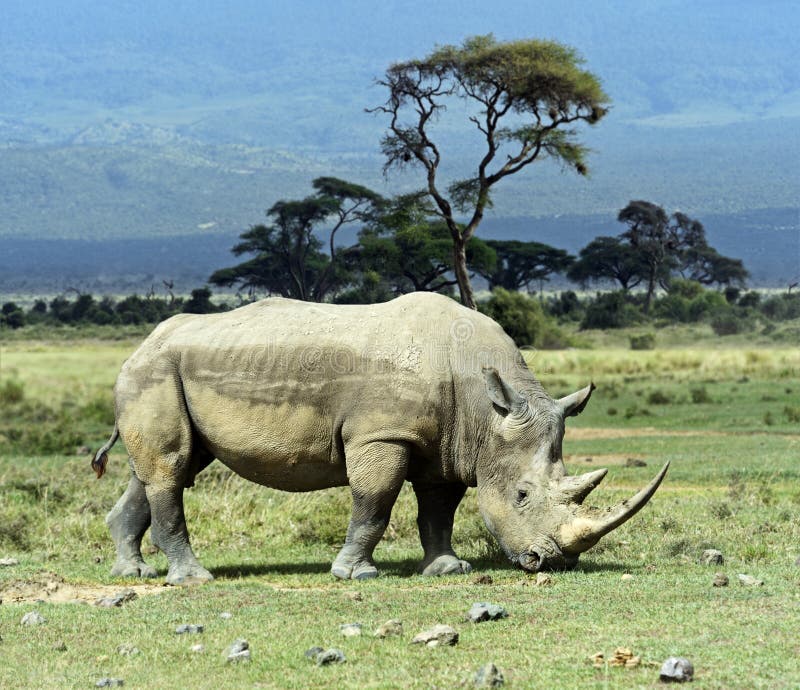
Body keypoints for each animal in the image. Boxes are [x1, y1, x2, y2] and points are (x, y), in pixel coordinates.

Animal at [93, 292, 667, 584]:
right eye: (522, 495)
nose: (552, 562)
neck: (486, 406)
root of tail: (140, 344)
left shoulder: (450, 443)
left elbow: (438, 509)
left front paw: (446, 569)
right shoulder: (382, 435)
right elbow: (375, 502)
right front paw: (356, 574)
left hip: (166, 371)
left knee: (168, 468)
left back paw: (132, 573)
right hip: (154, 371)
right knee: (172, 467)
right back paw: (194, 579)